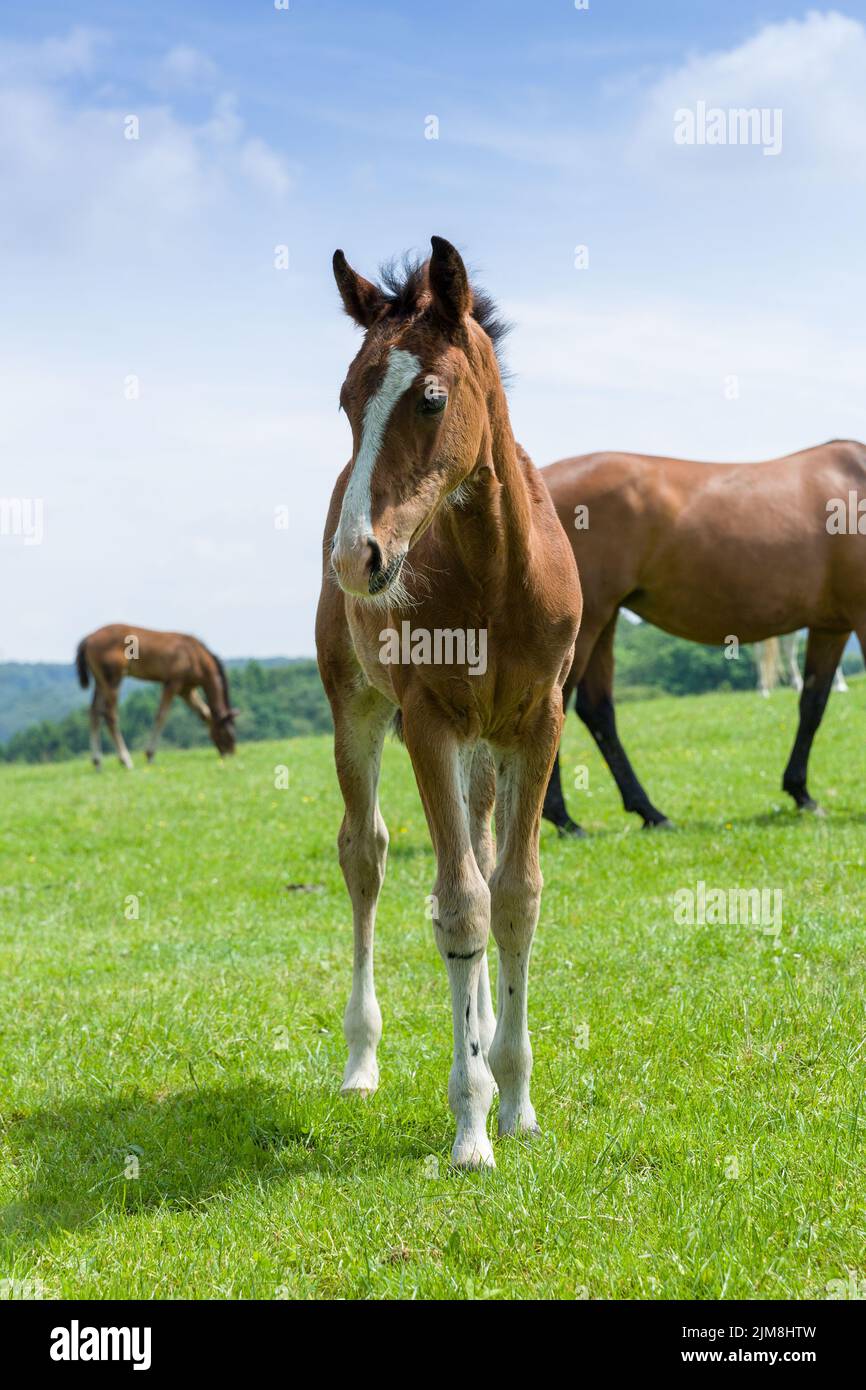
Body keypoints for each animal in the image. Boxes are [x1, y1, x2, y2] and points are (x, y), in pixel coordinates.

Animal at [76, 624, 238, 768]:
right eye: (226, 733)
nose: (230, 753)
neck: (195, 655)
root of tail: (88, 639)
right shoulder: (173, 683)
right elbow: (161, 715)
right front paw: (150, 755)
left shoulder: (186, 690)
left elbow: (205, 713)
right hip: (113, 678)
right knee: (110, 714)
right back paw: (126, 760)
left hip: (100, 681)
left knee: (94, 713)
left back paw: (97, 762)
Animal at [315, 238, 581, 1168]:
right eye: (347, 399)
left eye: (429, 397)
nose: (355, 557)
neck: (497, 576)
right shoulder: (425, 720)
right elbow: (460, 904)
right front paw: (471, 1124)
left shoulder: (539, 721)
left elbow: (516, 895)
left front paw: (517, 1100)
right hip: (358, 707)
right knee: (366, 854)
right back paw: (361, 1062)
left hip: (485, 748)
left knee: (483, 846)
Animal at [539, 441, 866, 837]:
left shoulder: (831, 627)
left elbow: (813, 705)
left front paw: (801, 793)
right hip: (587, 624)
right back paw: (564, 819)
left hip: (604, 620)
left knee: (597, 711)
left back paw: (650, 812)